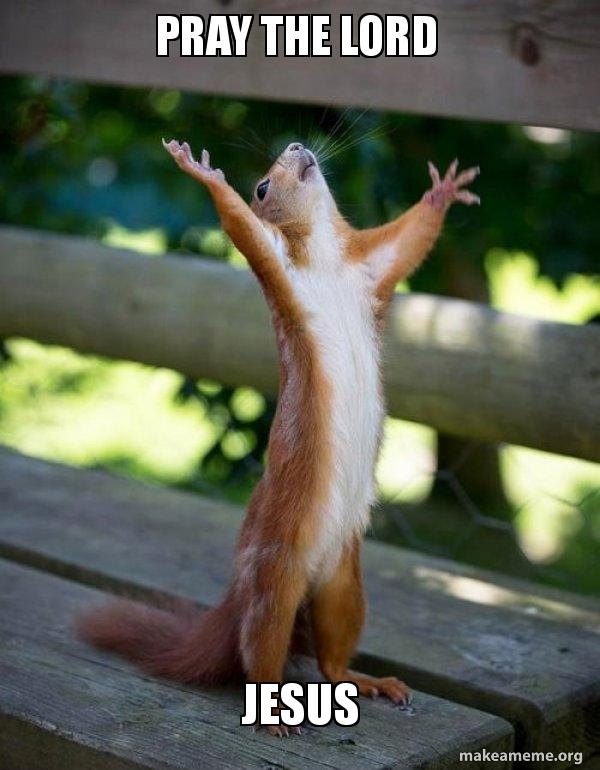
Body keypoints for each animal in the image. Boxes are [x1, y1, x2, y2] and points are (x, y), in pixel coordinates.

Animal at [79, 138, 479, 736]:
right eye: (262, 187)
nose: (296, 146)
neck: (327, 258)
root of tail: (239, 594)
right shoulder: (278, 266)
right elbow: (242, 227)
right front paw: (204, 174)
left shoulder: (371, 267)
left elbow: (408, 241)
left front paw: (443, 191)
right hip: (275, 579)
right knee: (259, 651)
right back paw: (275, 716)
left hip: (344, 584)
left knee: (332, 658)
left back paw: (367, 681)